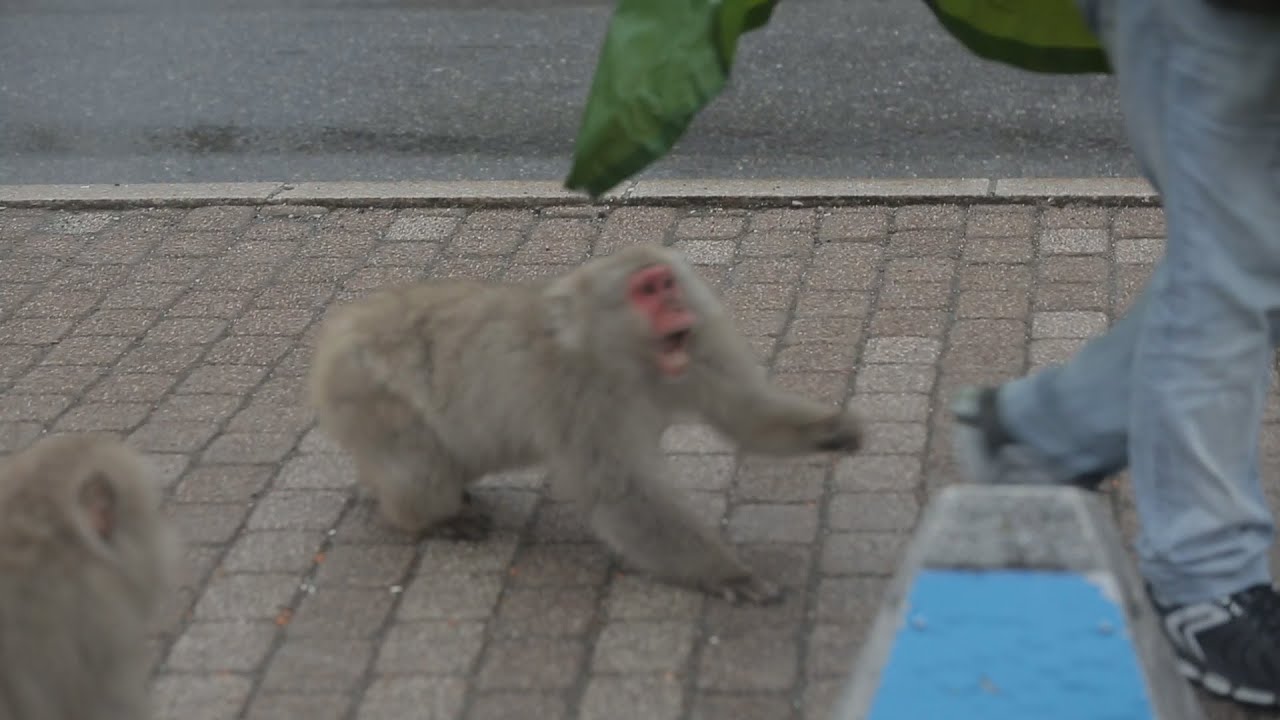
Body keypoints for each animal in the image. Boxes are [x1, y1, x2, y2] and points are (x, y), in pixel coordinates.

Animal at [308, 243, 862, 604]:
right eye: (647, 291)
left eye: (668, 283)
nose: (676, 302)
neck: (628, 360)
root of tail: (339, 333)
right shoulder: (578, 398)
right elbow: (623, 494)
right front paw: (726, 574)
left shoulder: (702, 345)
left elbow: (743, 411)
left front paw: (831, 429)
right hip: (365, 393)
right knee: (418, 464)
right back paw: (425, 517)